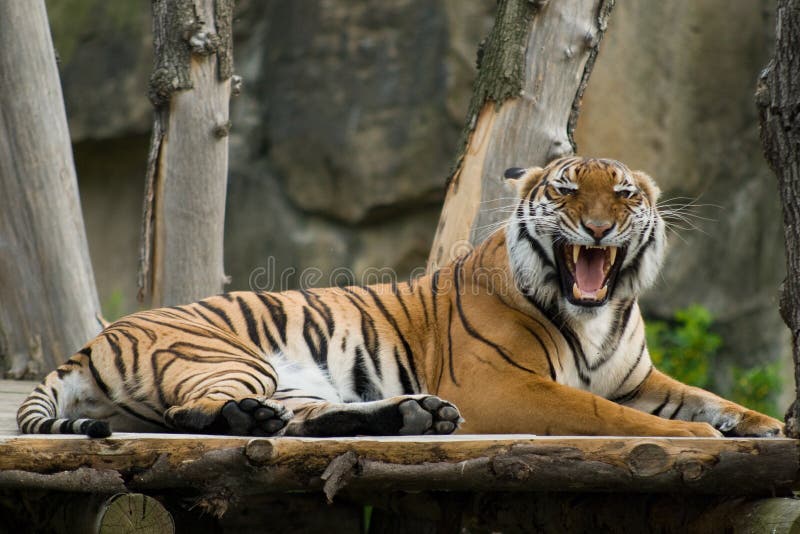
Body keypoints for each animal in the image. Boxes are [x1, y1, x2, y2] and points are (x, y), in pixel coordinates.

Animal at [17, 156, 783, 439]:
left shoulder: (638, 377)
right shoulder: (500, 384)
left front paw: (767, 427)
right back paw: (248, 417)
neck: (595, 314)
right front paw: (697, 439)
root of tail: (91, 340)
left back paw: (415, 415)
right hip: (228, 357)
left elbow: (705, 396)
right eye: (567, 191)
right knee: (197, 414)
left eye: (623, 194)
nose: (598, 227)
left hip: (299, 381)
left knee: (306, 423)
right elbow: (600, 412)